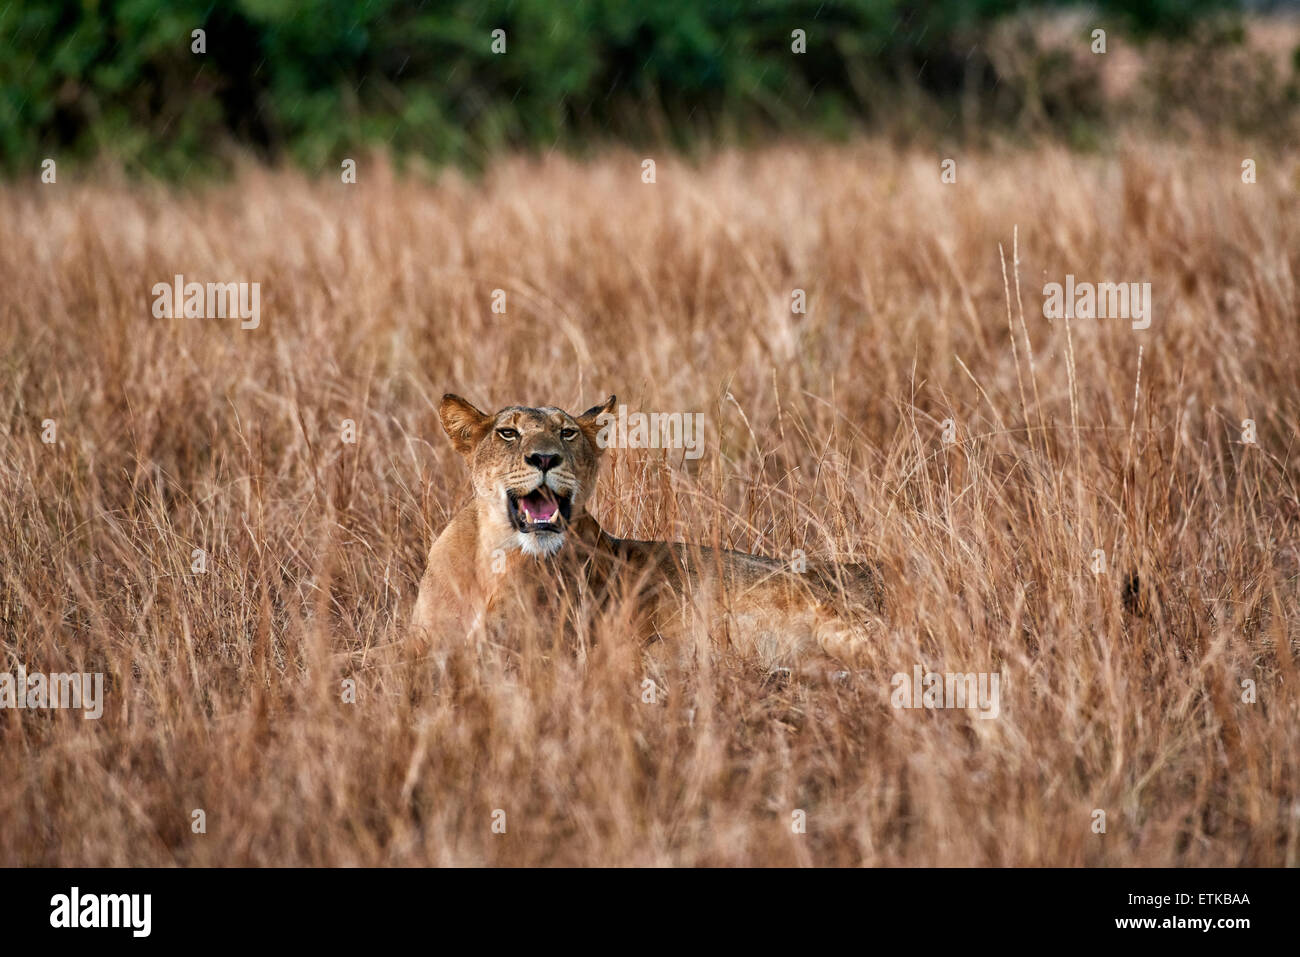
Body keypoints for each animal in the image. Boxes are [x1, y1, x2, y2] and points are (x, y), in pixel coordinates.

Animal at [411, 394, 885, 670]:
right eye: (507, 433)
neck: (490, 554)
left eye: (567, 432)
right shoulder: (427, 639)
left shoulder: (532, 650)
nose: (545, 458)